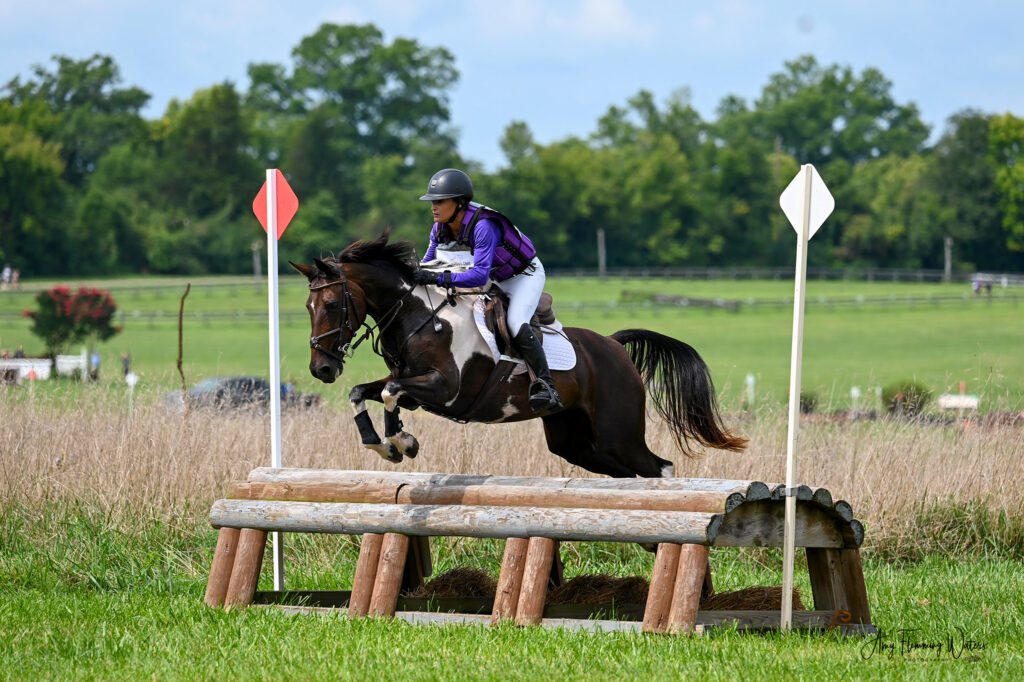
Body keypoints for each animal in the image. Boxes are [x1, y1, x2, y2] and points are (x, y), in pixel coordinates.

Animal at [291, 230, 747, 478]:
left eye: (331, 304)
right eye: (308, 307)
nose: (321, 368)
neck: (418, 316)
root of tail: (614, 345)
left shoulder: (444, 389)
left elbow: (389, 393)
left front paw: (403, 440)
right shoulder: (410, 381)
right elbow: (365, 392)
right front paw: (385, 444)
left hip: (618, 432)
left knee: (657, 467)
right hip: (574, 441)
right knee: (623, 473)